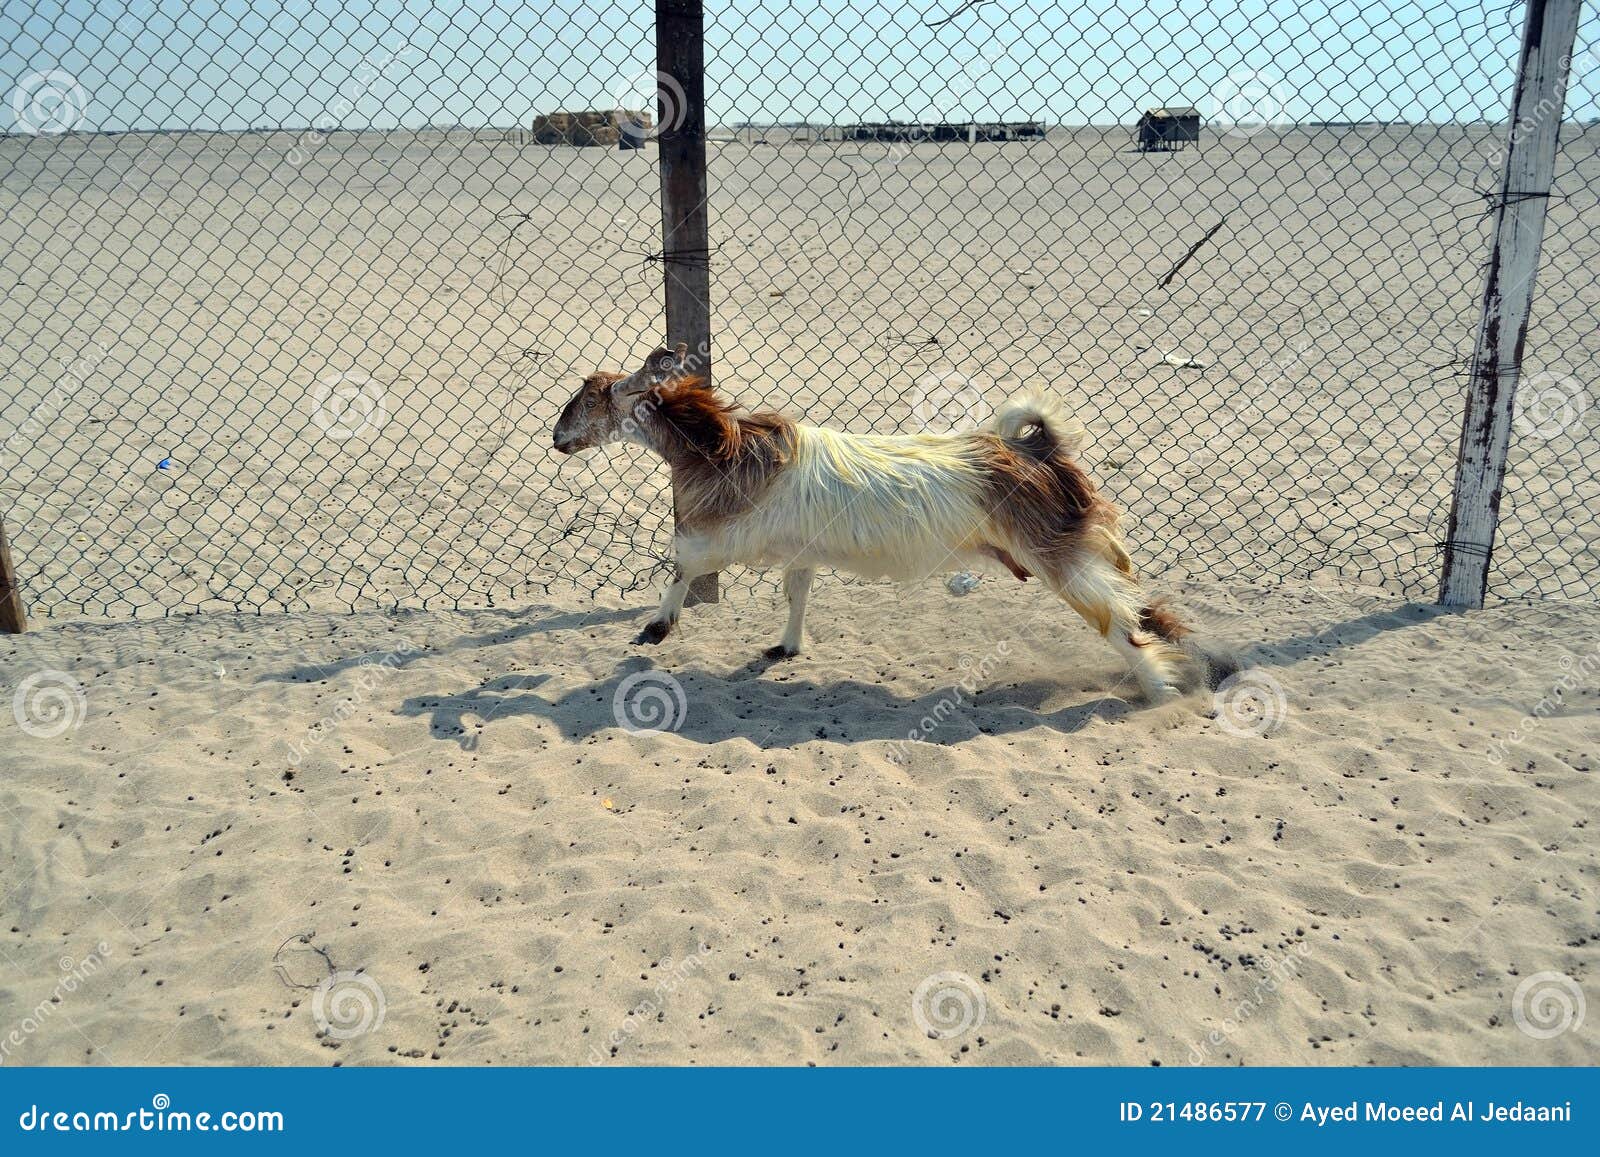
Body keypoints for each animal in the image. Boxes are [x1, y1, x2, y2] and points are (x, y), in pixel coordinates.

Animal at [553, 343, 1227, 700]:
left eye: (586, 400)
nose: (556, 438)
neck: (724, 445)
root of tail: (1037, 451)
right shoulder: (798, 549)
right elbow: (797, 589)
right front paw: (787, 646)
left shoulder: (723, 534)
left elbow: (683, 565)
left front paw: (656, 628)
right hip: (1074, 549)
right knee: (1143, 606)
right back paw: (1202, 666)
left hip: (1057, 557)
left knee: (1119, 620)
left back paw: (1160, 688)